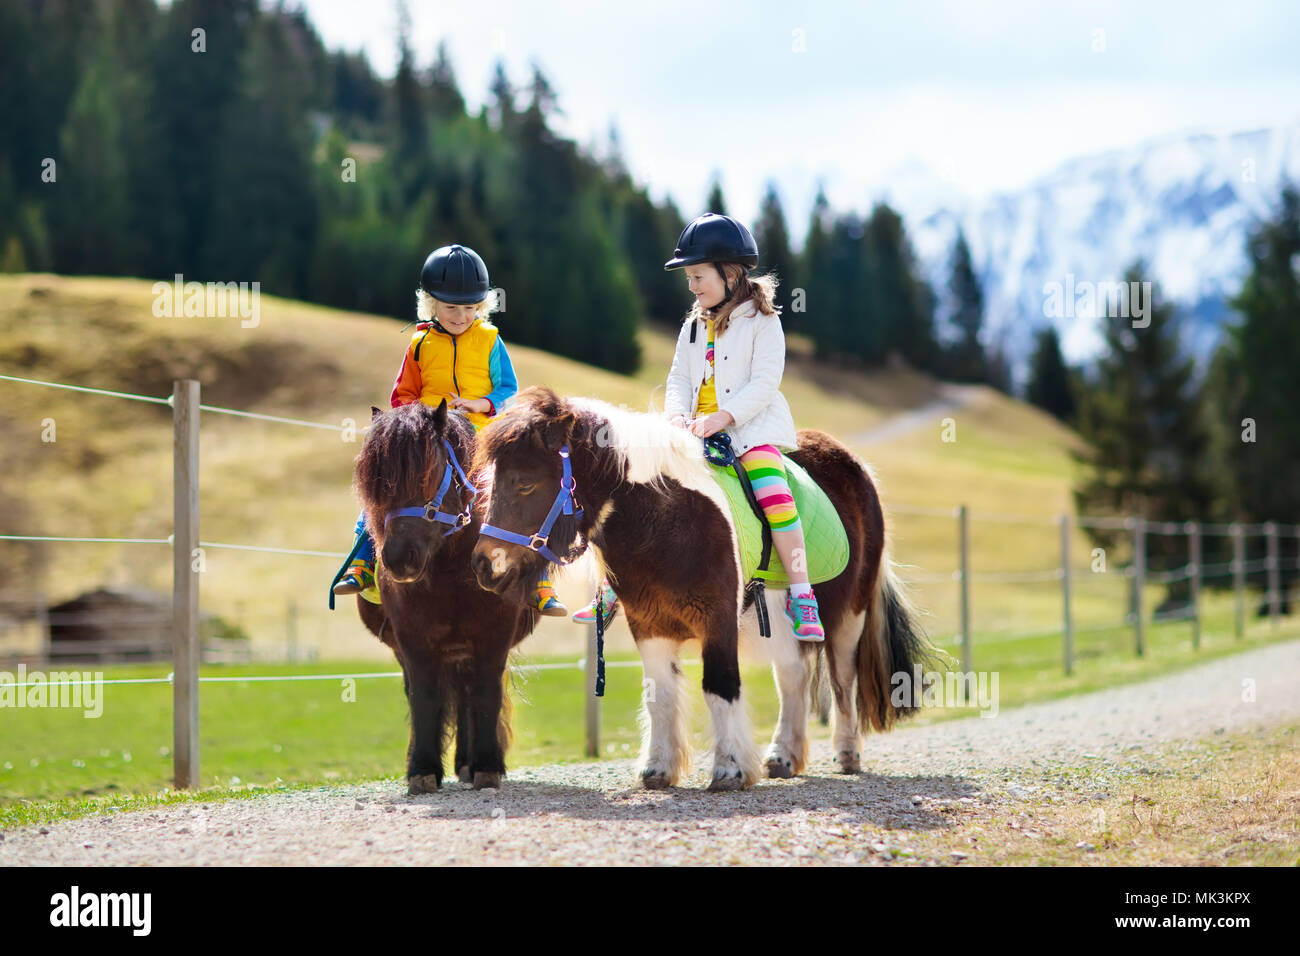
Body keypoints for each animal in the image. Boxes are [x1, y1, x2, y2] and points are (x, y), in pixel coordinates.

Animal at [351, 398, 538, 793]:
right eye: (377, 485)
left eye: (429, 473)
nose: (397, 558)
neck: (452, 569)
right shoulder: (412, 639)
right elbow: (424, 696)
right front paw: (421, 769)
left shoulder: (494, 635)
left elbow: (485, 693)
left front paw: (486, 766)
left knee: (468, 694)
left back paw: (467, 763)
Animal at [470, 386, 937, 791]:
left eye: (526, 482)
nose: (484, 565)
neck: (667, 517)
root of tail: (854, 465)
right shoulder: (649, 624)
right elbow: (659, 694)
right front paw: (658, 768)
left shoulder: (718, 619)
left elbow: (720, 685)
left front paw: (731, 771)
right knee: (794, 675)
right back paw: (783, 756)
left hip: (848, 616)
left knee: (841, 679)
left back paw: (846, 753)